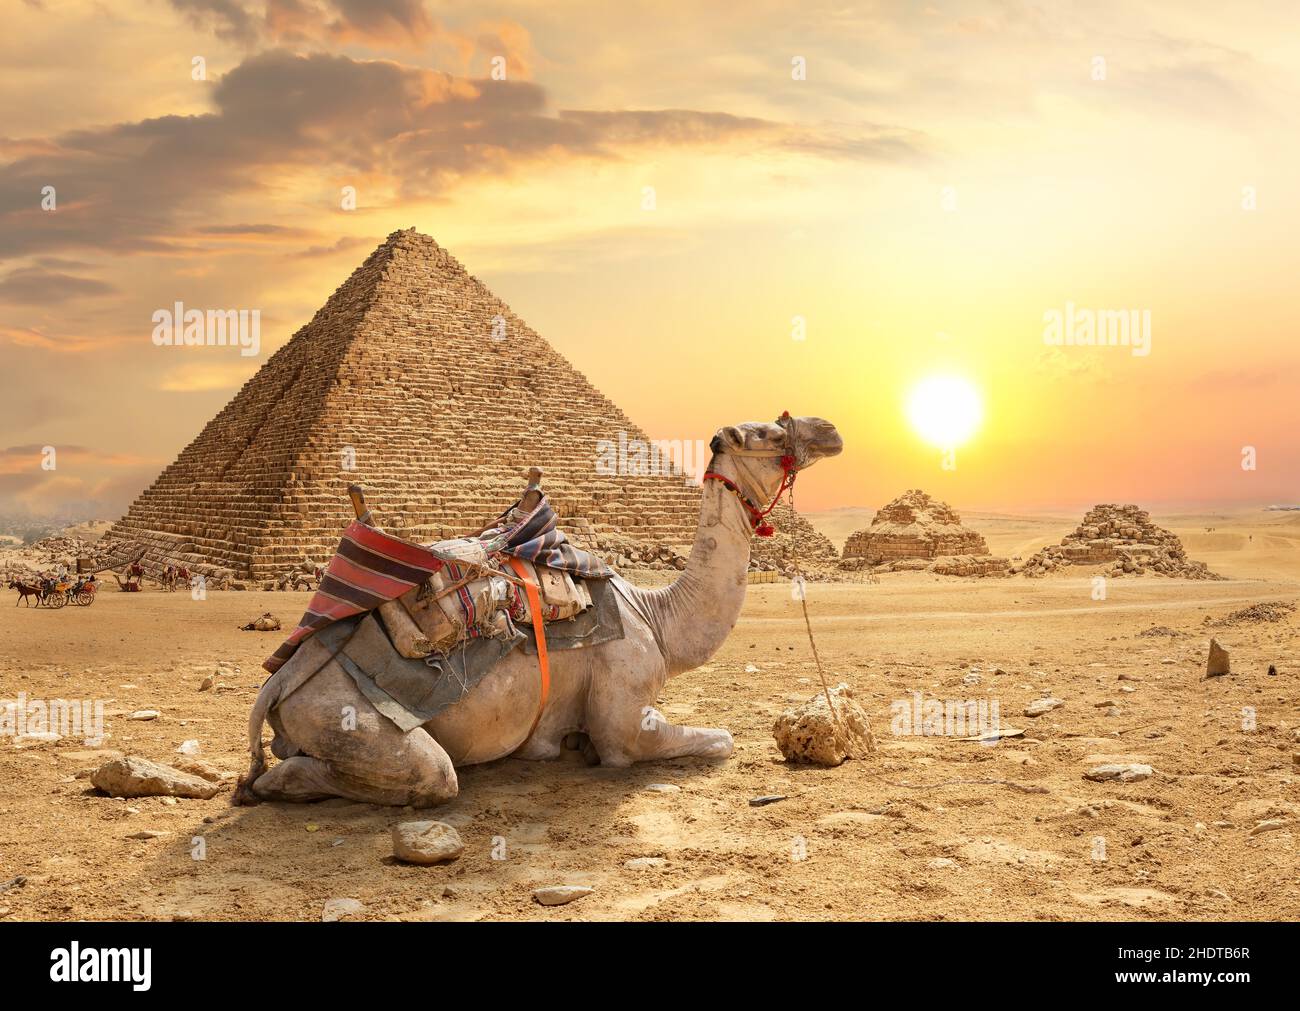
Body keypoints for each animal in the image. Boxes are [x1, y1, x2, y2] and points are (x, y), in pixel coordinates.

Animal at [234, 415, 842, 807]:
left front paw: (567, 749)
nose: (830, 430)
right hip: (345, 717)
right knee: (429, 776)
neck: (658, 617)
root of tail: (280, 680)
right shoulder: (625, 718)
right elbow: (718, 740)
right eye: (769, 432)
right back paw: (270, 786)